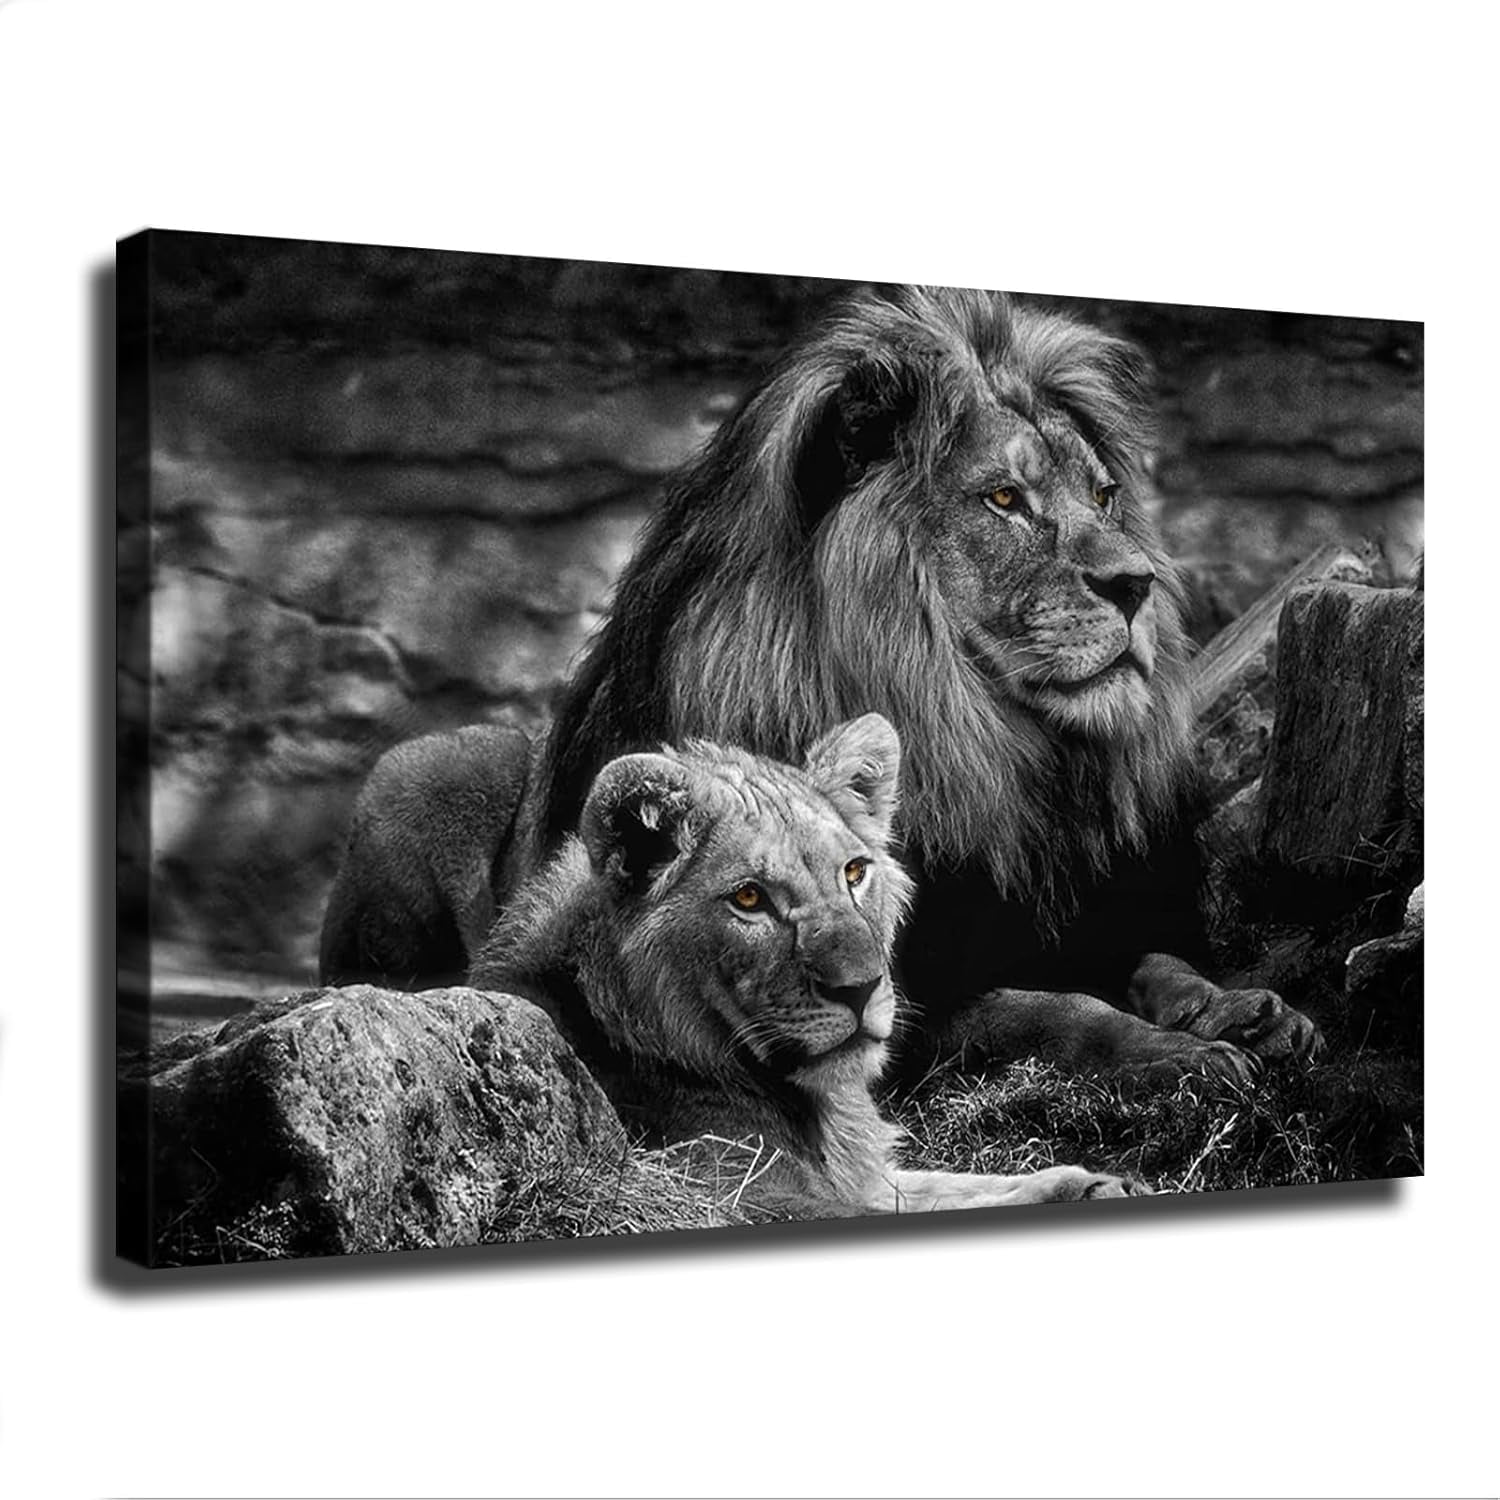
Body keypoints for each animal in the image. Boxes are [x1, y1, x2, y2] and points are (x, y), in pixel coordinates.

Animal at [321, 282, 1319, 1081]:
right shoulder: (888, 1010)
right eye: (1004, 499)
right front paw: (1177, 1053)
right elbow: (1047, 1010)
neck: (991, 756)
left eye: (1105, 496)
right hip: (423, 766)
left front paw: (1236, 1008)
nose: (1137, 584)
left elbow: (1153, 961)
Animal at [470, 714, 1149, 1213]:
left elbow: (964, 1188)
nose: (862, 988)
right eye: (749, 899)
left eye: (854, 873)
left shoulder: (870, 1179)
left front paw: (1094, 1184)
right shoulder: (733, 1198)